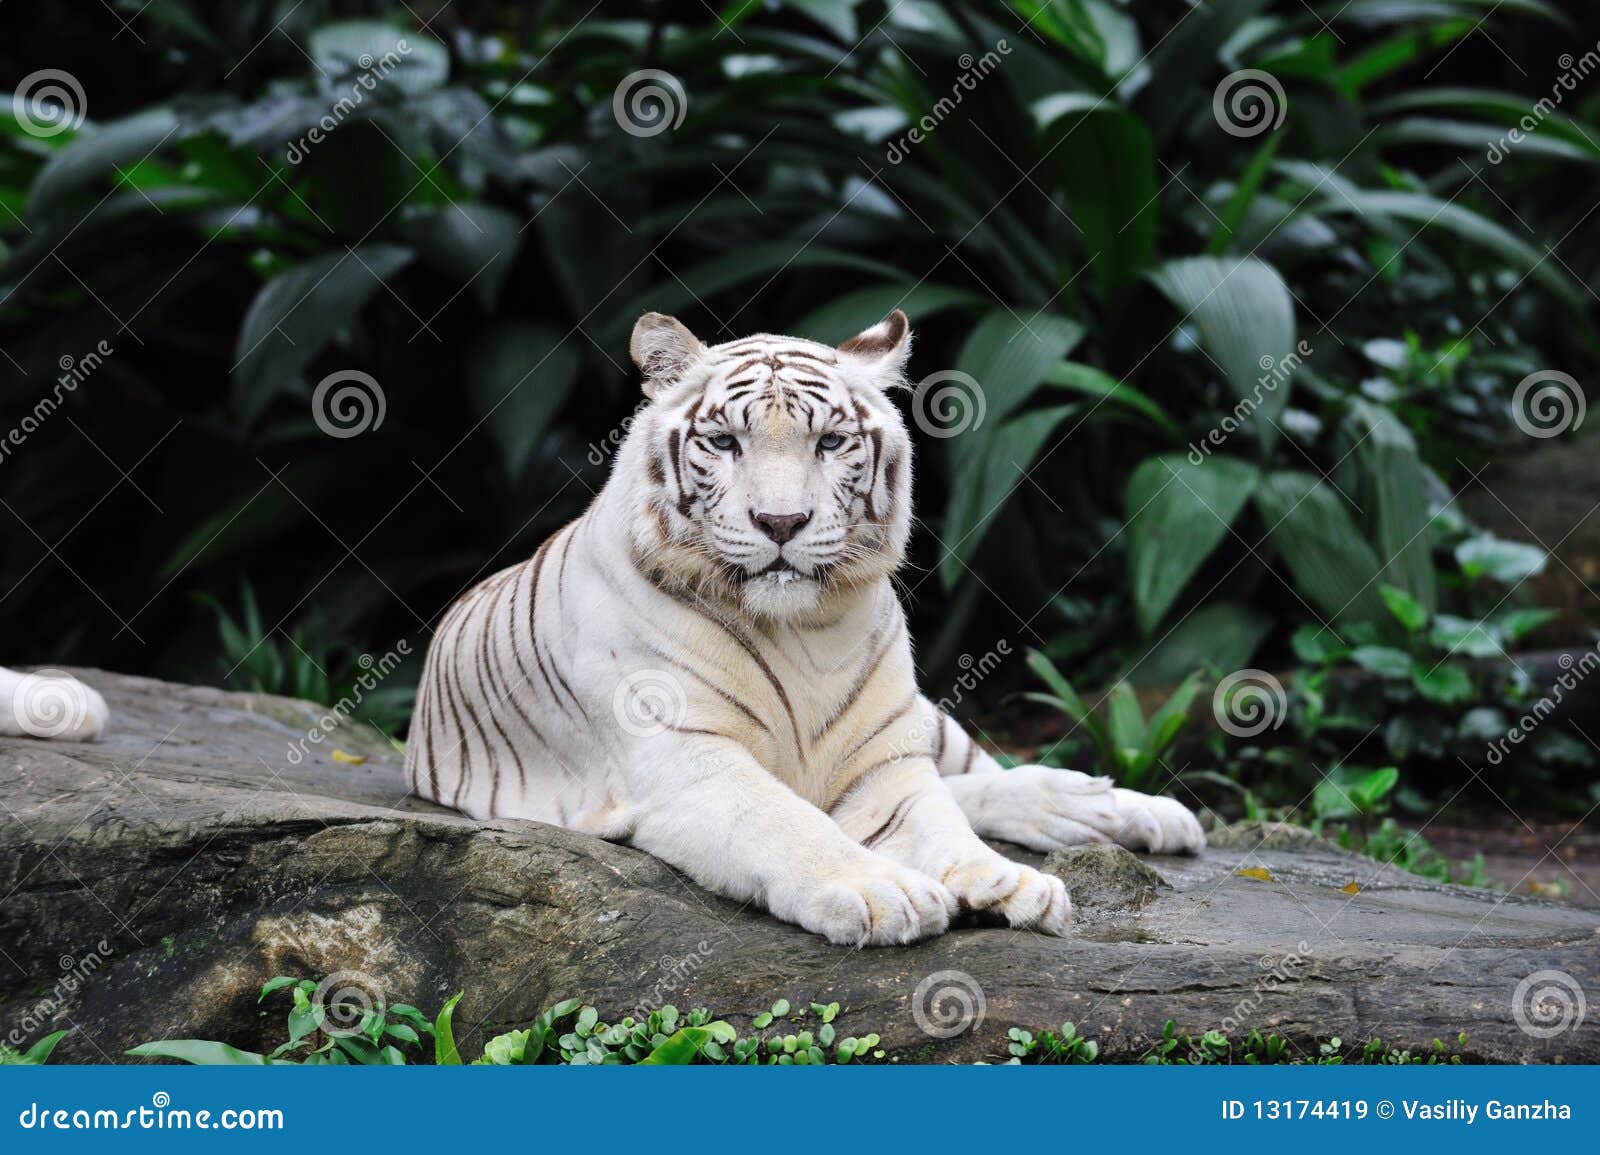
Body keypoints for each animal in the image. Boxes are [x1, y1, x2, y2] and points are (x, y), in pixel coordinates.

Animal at [407, 309, 1204, 946]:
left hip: (921, 722)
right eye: (725, 442)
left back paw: (1128, 810)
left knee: (975, 777)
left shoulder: (883, 764)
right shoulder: (690, 762)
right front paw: (883, 892)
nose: (782, 521)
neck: (800, 636)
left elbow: (941, 820)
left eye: (829, 443)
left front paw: (1005, 882)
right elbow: (790, 823)